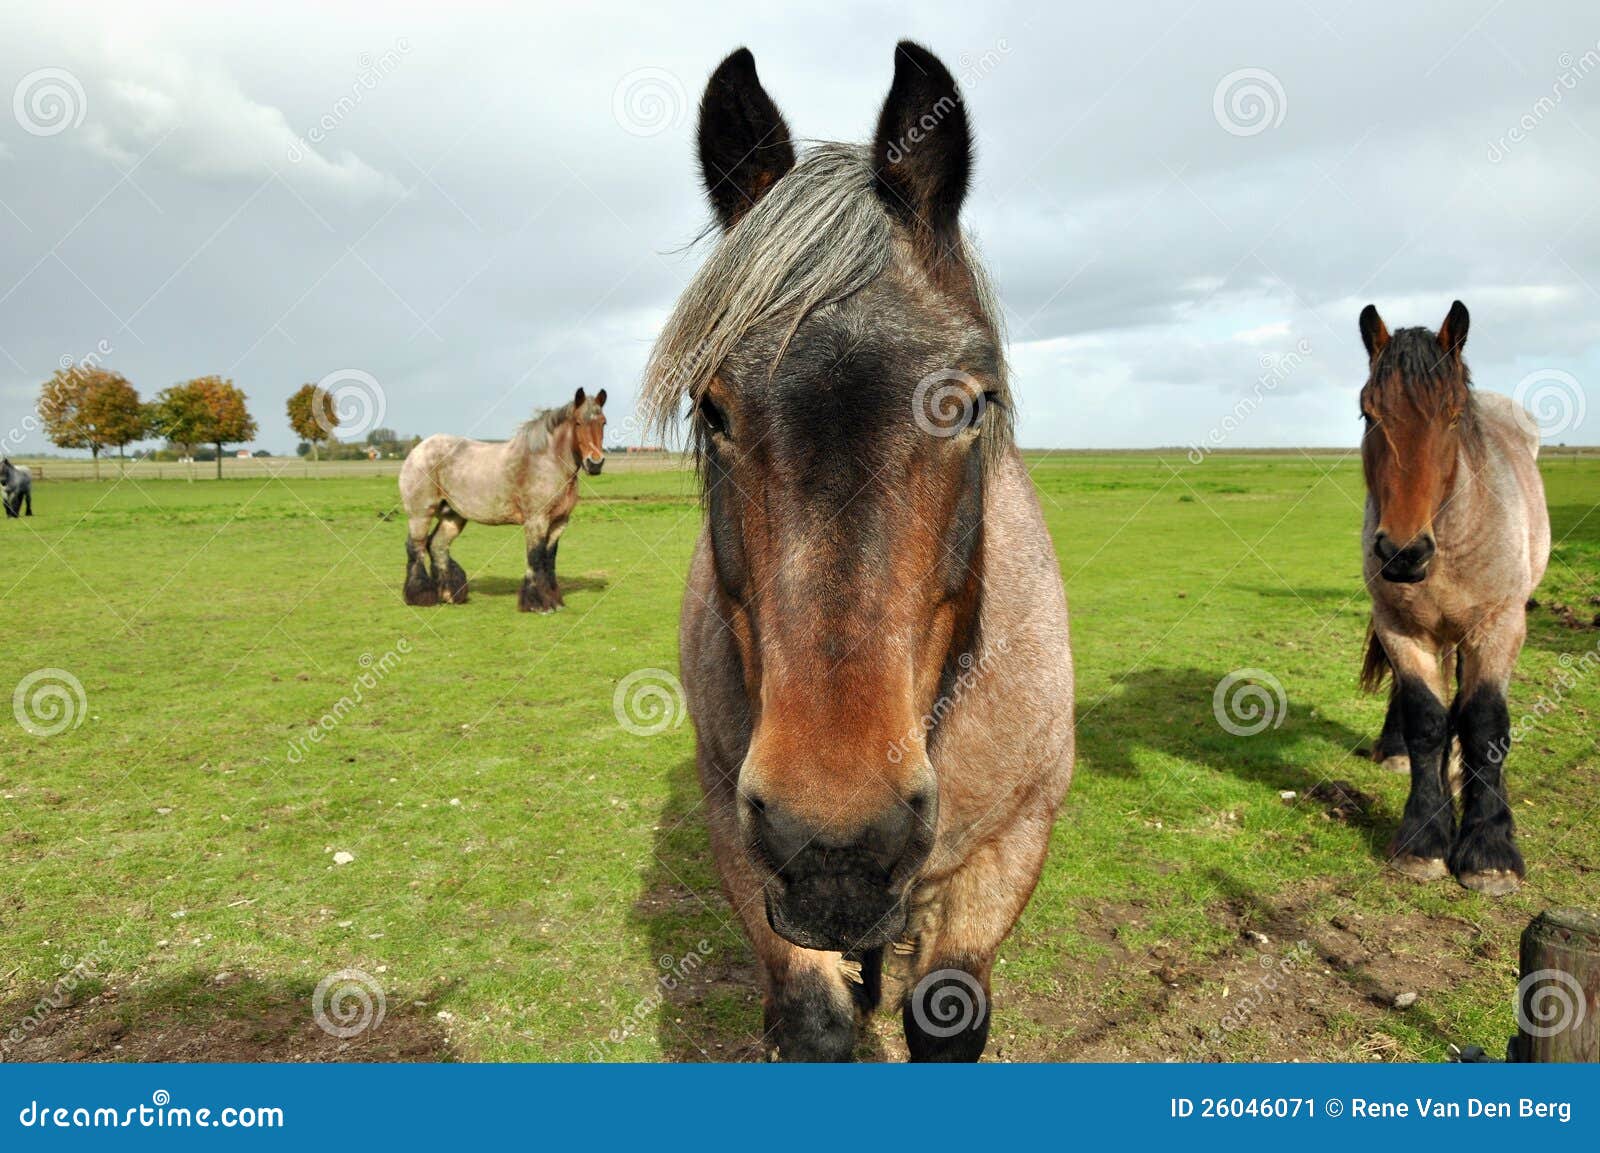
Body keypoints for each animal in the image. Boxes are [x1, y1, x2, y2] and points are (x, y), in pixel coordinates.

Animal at [397, 388, 606, 612]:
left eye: (603, 422)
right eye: (578, 422)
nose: (595, 463)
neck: (545, 461)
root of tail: (417, 451)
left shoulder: (559, 522)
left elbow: (549, 560)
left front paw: (554, 601)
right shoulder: (536, 521)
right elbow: (535, 557)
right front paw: (538, 604)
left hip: (452, 516)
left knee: (437, 546)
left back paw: (450, 595)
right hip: (420, 515)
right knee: (416, 548)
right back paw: (421, 596)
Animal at [642, 43, 1075, 1062]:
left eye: (966, 403)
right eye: (713, 409)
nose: (834, 839)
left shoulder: (1010, 847)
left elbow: (948, 1014)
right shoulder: (744, 846)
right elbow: (813, 1018)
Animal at [1356, 301, 1550, 895]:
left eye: (1451, 415)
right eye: (1368, 414)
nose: (1402, 552)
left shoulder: (1499, 626)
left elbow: (1485, 721)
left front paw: (1488, 848)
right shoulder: (1400, 625)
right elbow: (1426, 719)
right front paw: (1424, 837)